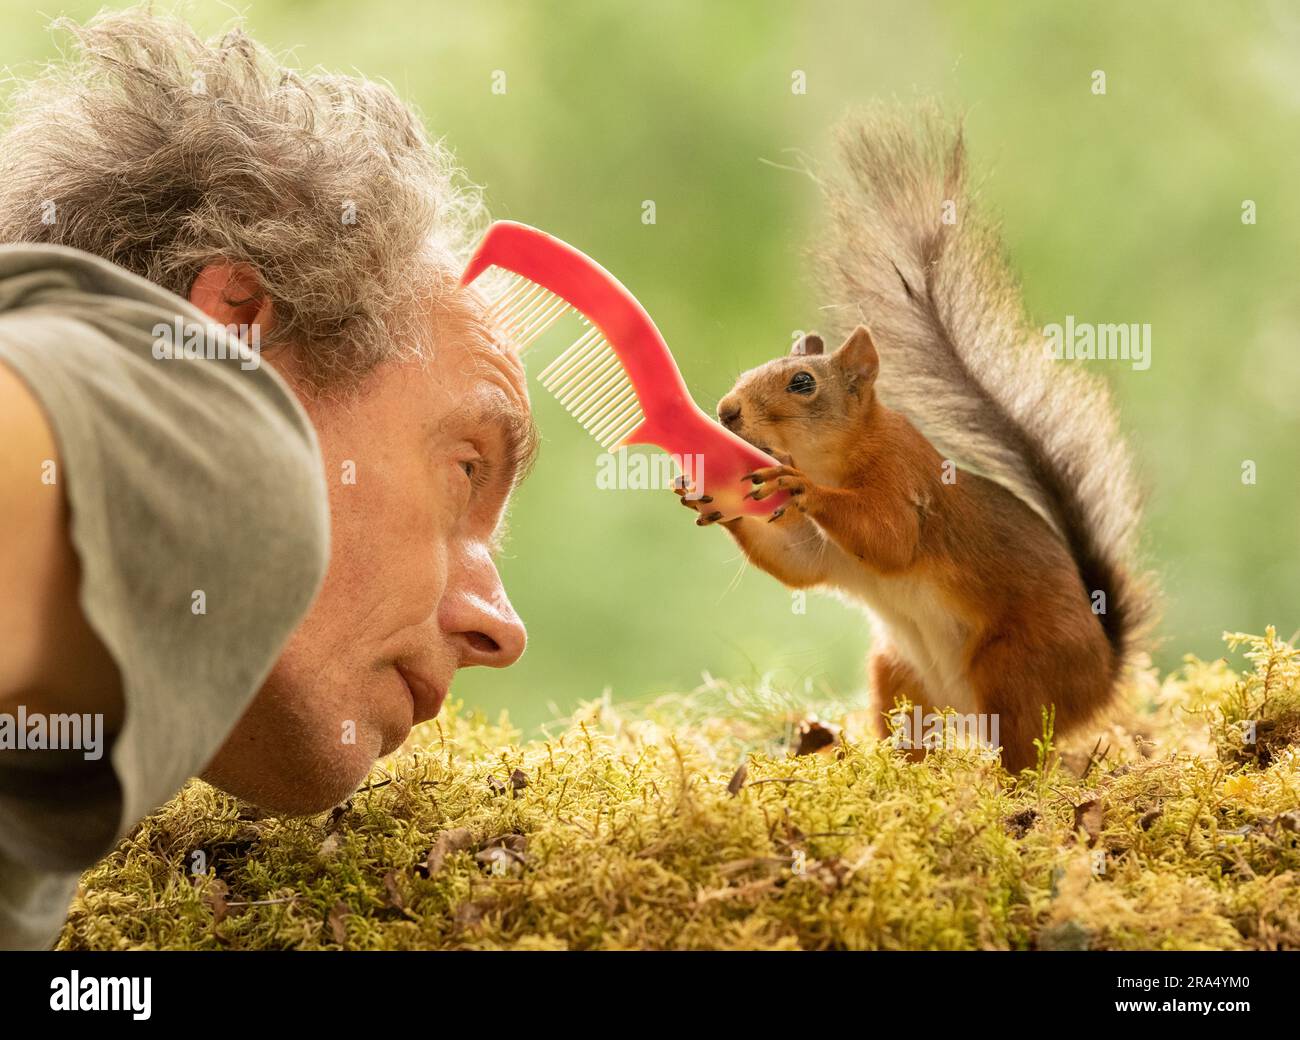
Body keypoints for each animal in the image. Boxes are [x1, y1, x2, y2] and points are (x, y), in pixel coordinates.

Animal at [678, 106, 1155, 772]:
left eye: (802, 383)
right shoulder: (828, 559)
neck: (839, 456)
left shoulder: (906, 478)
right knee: (915, 732)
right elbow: (801, 564)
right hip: (899, 672)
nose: (725, 413)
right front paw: (711, 498)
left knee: (1023, 749)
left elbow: (890, 538)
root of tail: (1103, 676)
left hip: (1016, 667)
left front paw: (796, 487)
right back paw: (892, 769)